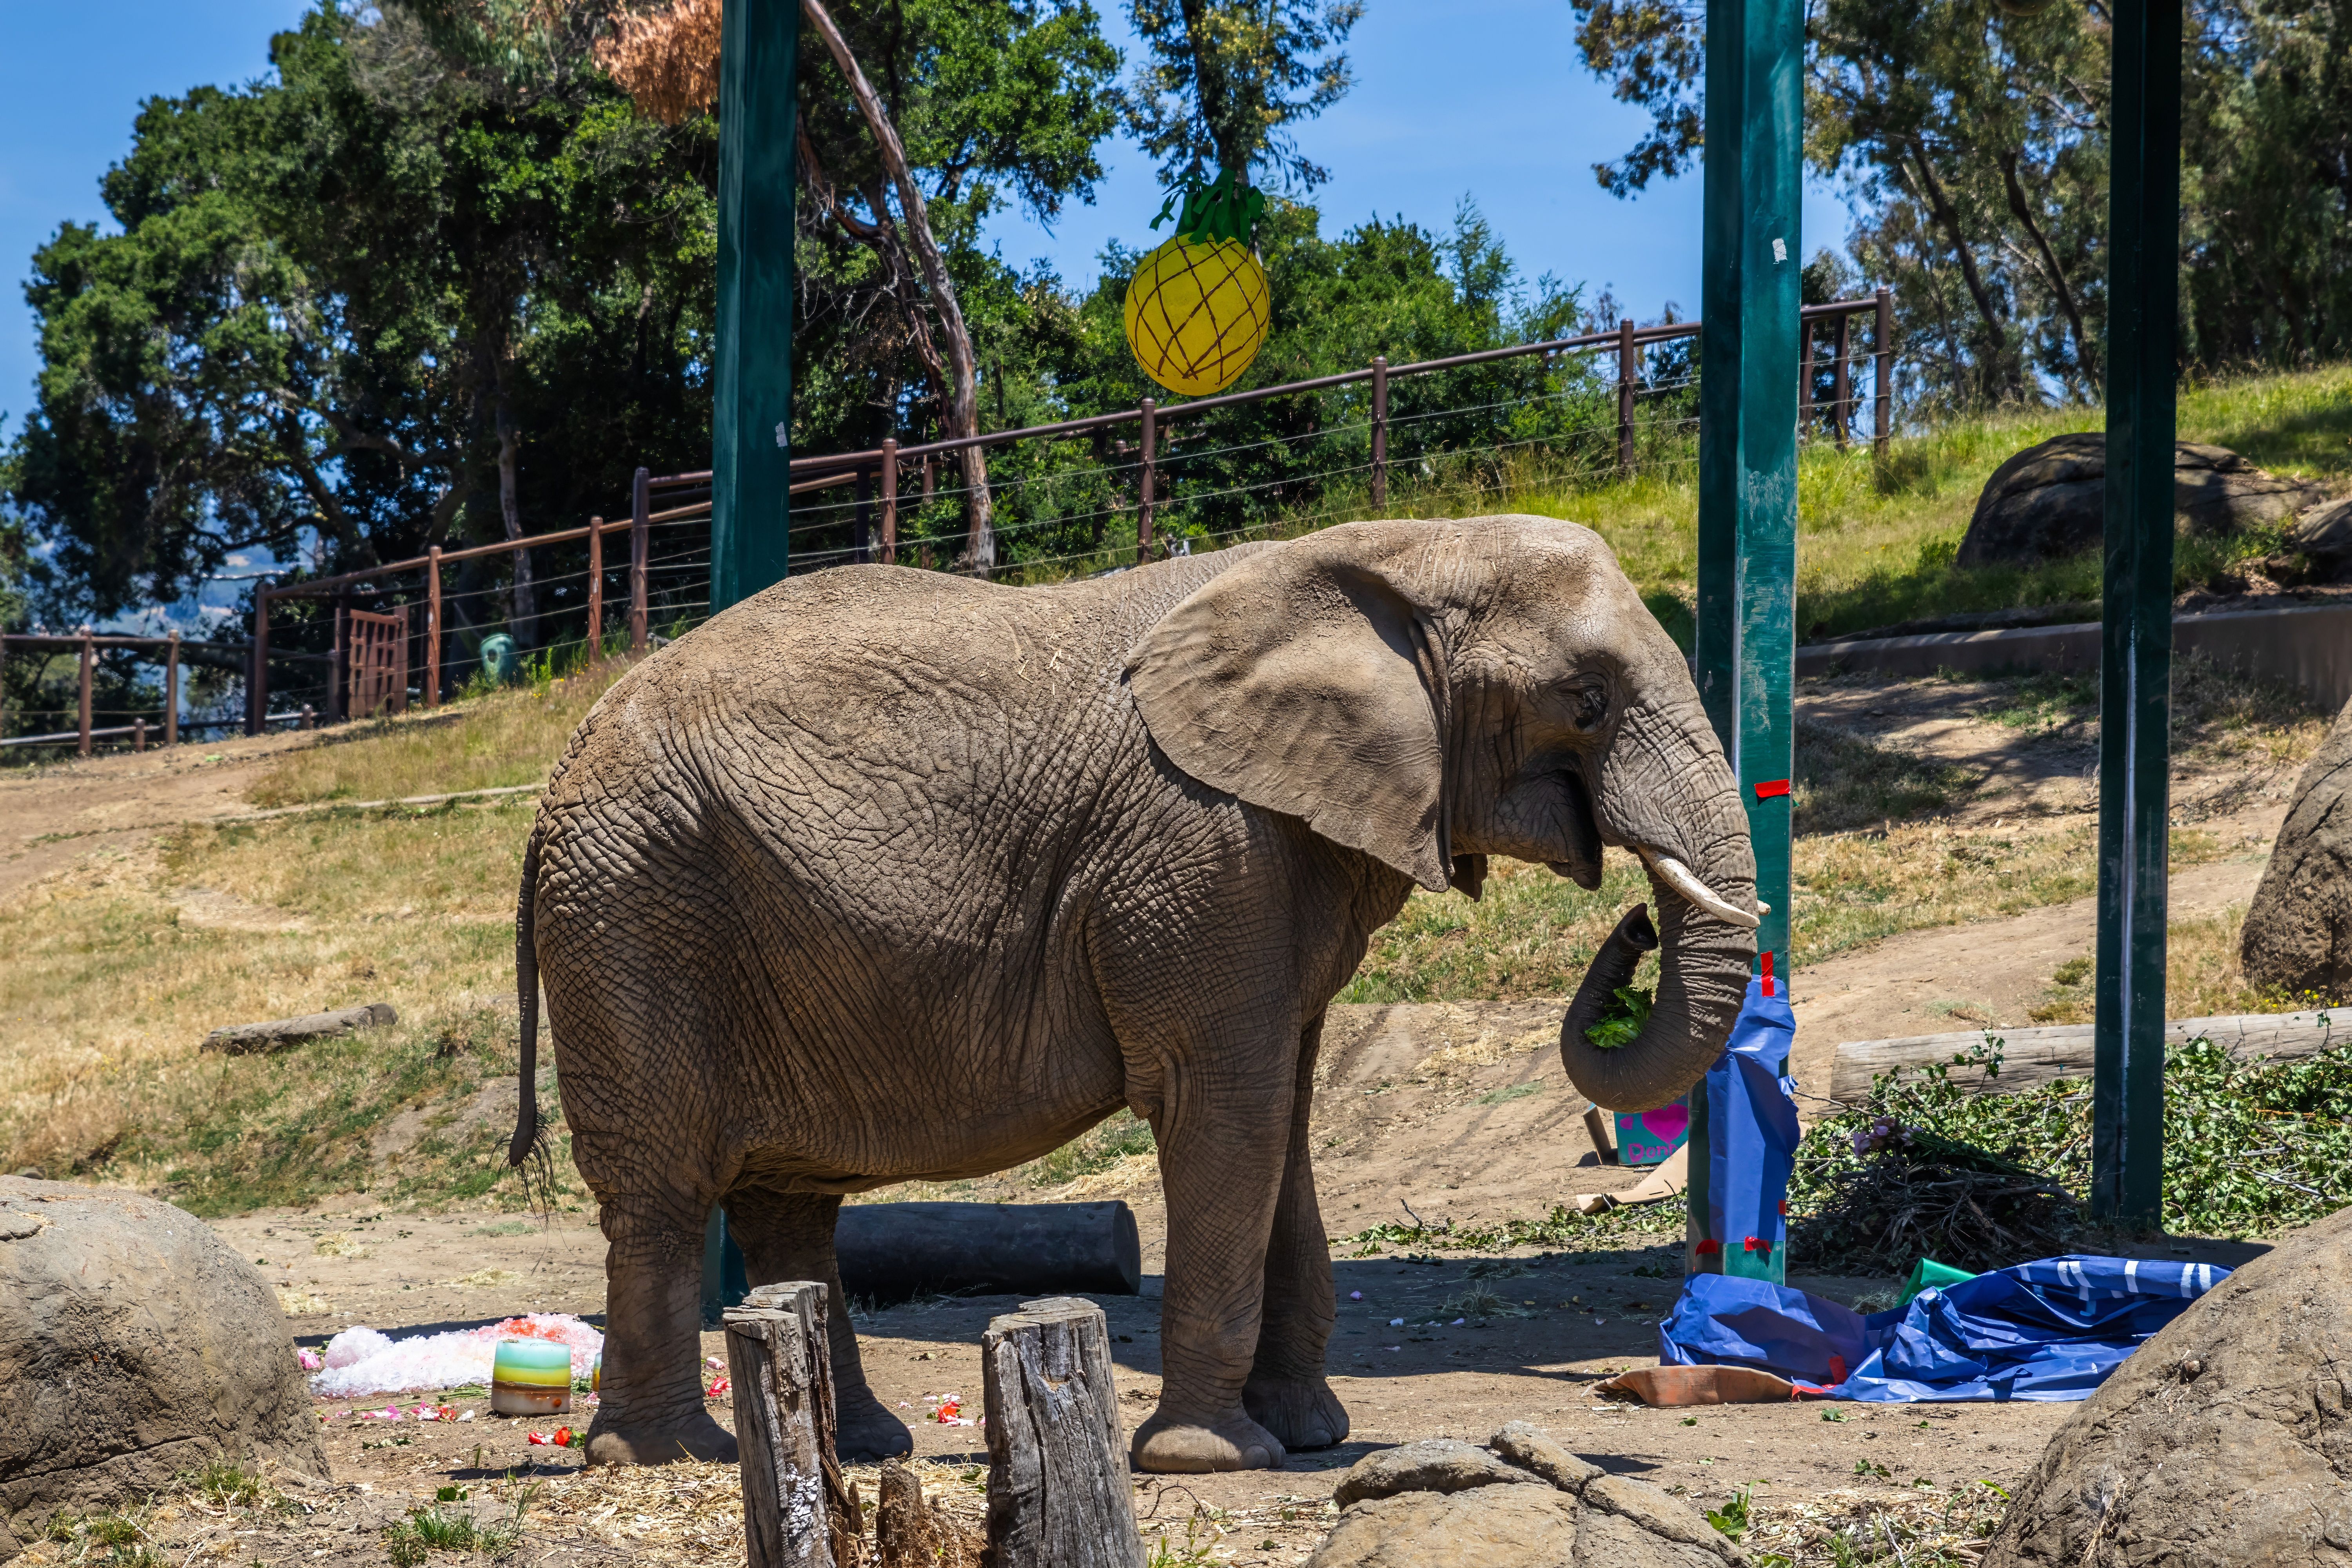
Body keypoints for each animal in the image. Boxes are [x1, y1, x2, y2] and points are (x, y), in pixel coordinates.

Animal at [507, 513, 1759, 1473]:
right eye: (1586, 702)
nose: (1638, 920)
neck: (1395, 547)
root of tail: (564, 759)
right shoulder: (1205, 846)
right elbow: (1227, 1109)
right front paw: (1217, 1459)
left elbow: (1284, 1113)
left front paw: (1308, 1436)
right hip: (633, 904)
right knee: (666, 1188)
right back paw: (669, 1455)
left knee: (789, 1199)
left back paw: (864, 1445)